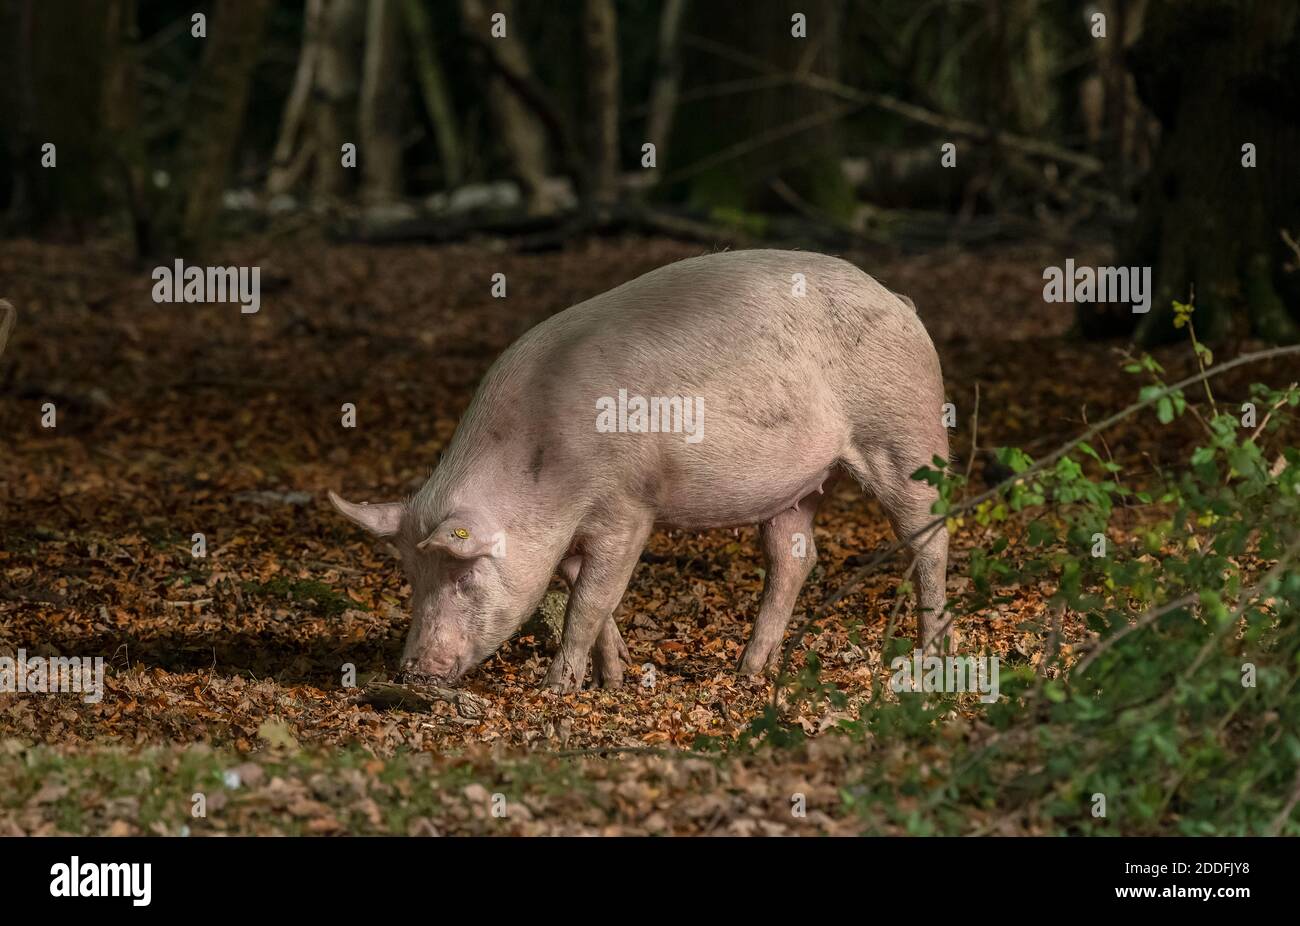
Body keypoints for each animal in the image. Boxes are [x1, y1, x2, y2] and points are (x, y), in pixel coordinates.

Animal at [329, 249, 951, 692]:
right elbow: (587, 593)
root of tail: (901, 301)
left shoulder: (627, 509)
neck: (541, 473)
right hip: (795, 487)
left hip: (906, 434)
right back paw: (749, 672)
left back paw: (929, 656)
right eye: (412, 578)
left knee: (930, 537)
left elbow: (589, 601)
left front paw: (556, 689)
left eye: (463, 574)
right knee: (794, 560)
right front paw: (615, 678)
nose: (413, 671)